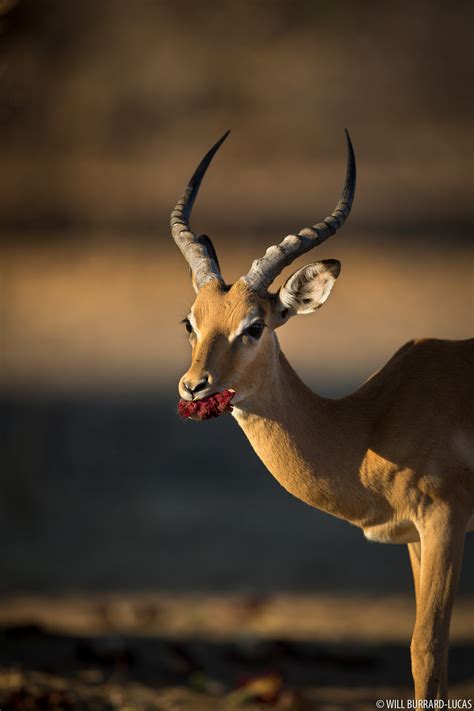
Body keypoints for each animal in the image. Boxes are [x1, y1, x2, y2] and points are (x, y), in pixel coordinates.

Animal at [170, 131, 474, 700]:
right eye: (190, 322)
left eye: (255, 326)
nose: (194, 386)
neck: (370, 423)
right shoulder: (417, 539)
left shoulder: (446, 521)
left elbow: (426, 652)